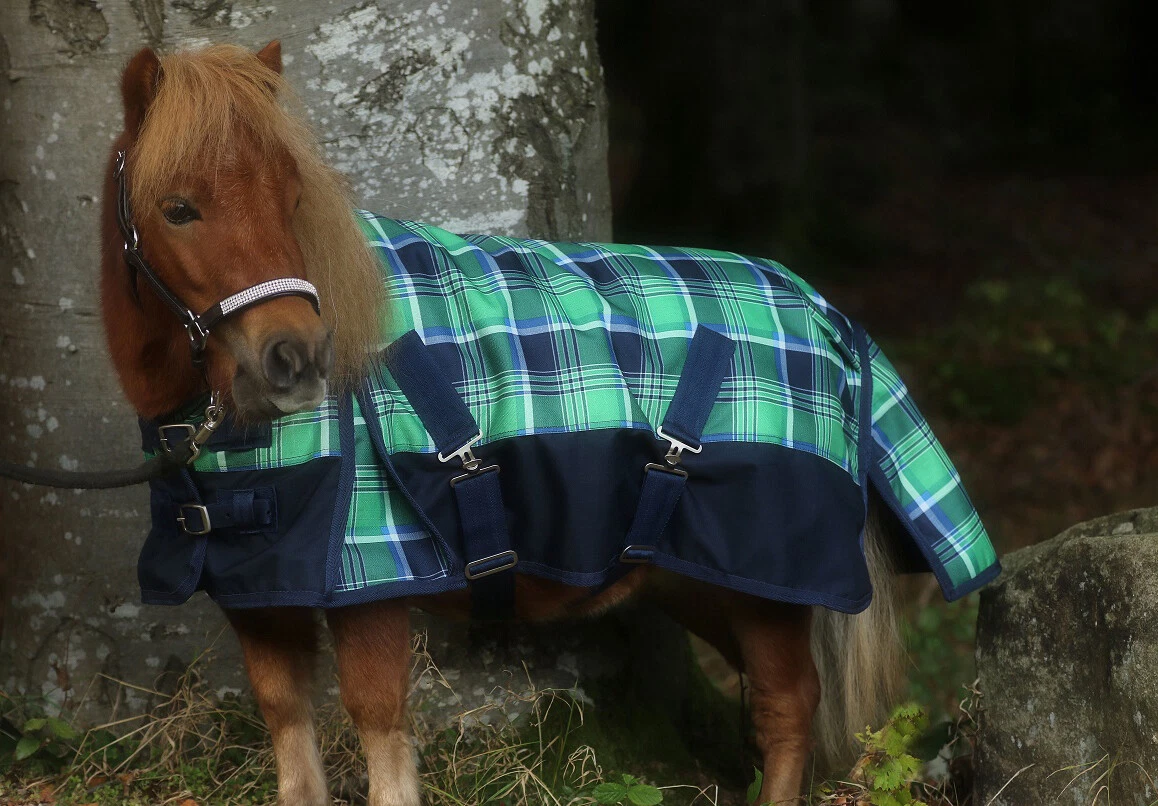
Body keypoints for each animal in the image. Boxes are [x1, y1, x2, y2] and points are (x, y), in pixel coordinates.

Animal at [100, 41, 996, 806]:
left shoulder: (370, 593)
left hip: (766, 581)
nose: (295, 358)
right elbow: (295, 758)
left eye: (293, 198)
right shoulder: (262, 605)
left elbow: (384, 745)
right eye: (178, 209)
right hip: (704, 578)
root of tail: (828, 314)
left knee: (788, 708)